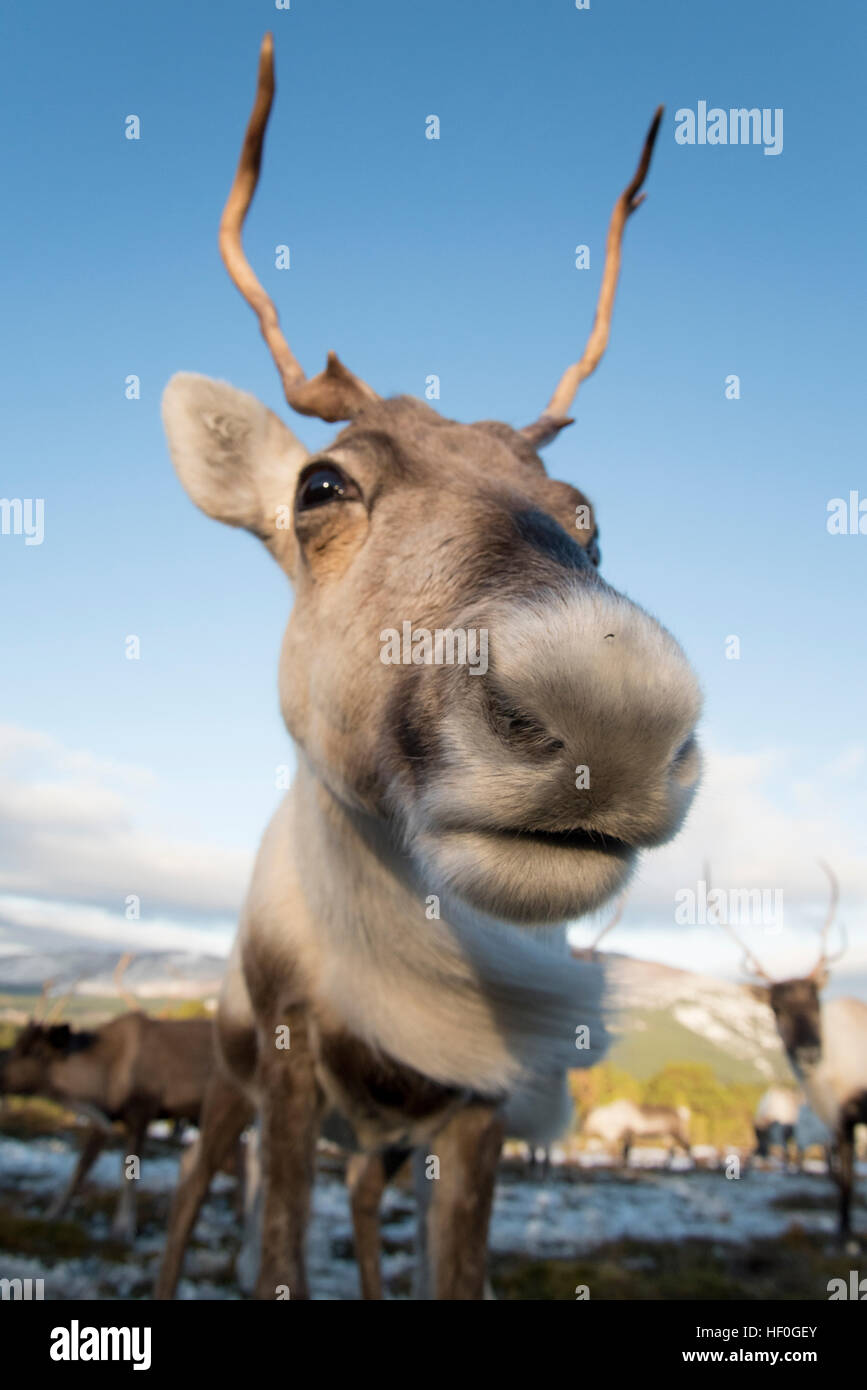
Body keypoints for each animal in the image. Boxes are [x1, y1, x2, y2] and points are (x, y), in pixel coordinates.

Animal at [160, 32, 703, 1299]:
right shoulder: (289, 1059)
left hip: (379, 1135)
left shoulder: (476, 1107)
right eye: (320, 485)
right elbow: (273, 1257)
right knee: (193, 1194)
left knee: (363, 1200)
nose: (610, 711)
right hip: (226, 1086)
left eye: (586, 514)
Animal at [718, 862, 867, 1239]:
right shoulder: (840, 1122)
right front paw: (844, 1231)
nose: (809, 1054)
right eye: (776, 1008)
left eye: (816, 1001)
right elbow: (844, 1181)